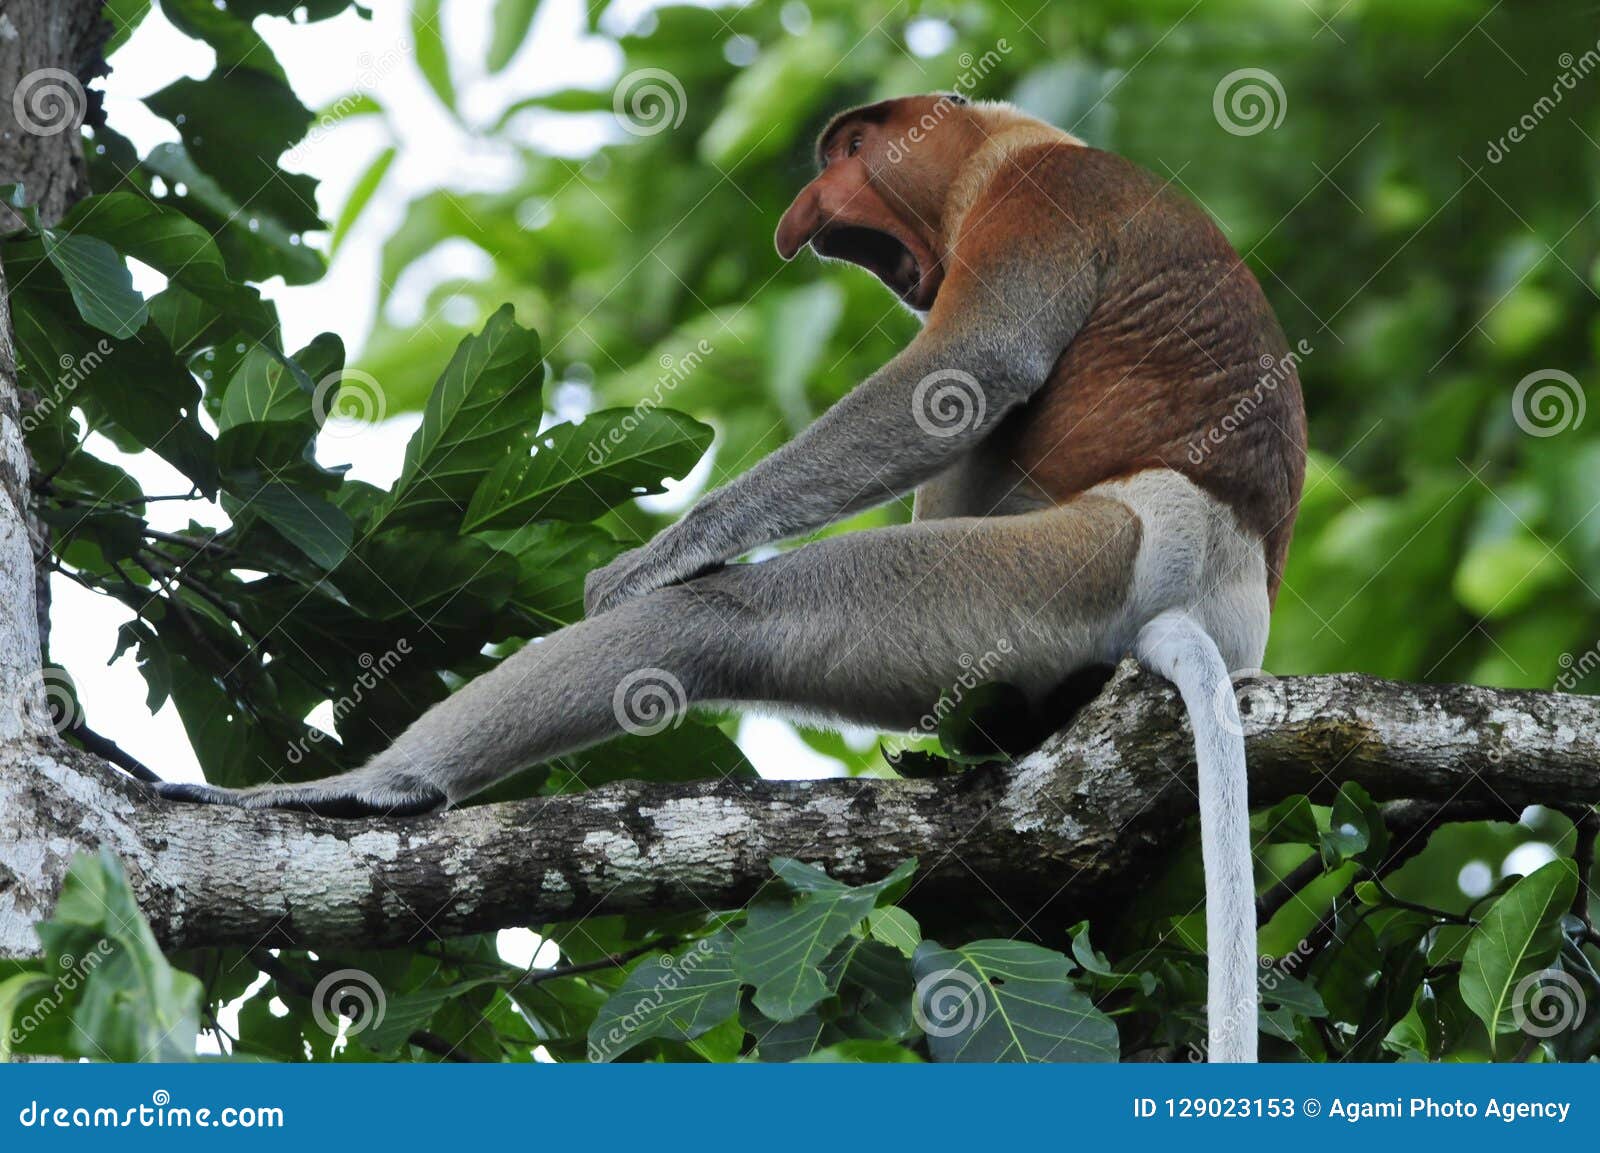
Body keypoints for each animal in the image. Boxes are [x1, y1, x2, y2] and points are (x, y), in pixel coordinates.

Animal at [158, 93, 1306, 1063]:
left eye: (848, 149)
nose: (802, 215)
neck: (1011, 148)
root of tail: (1225, 602)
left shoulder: (1037, 205)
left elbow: (971, 371)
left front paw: (662, 556)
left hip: (1067, 568)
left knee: (718, 623)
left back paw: (378, 786)